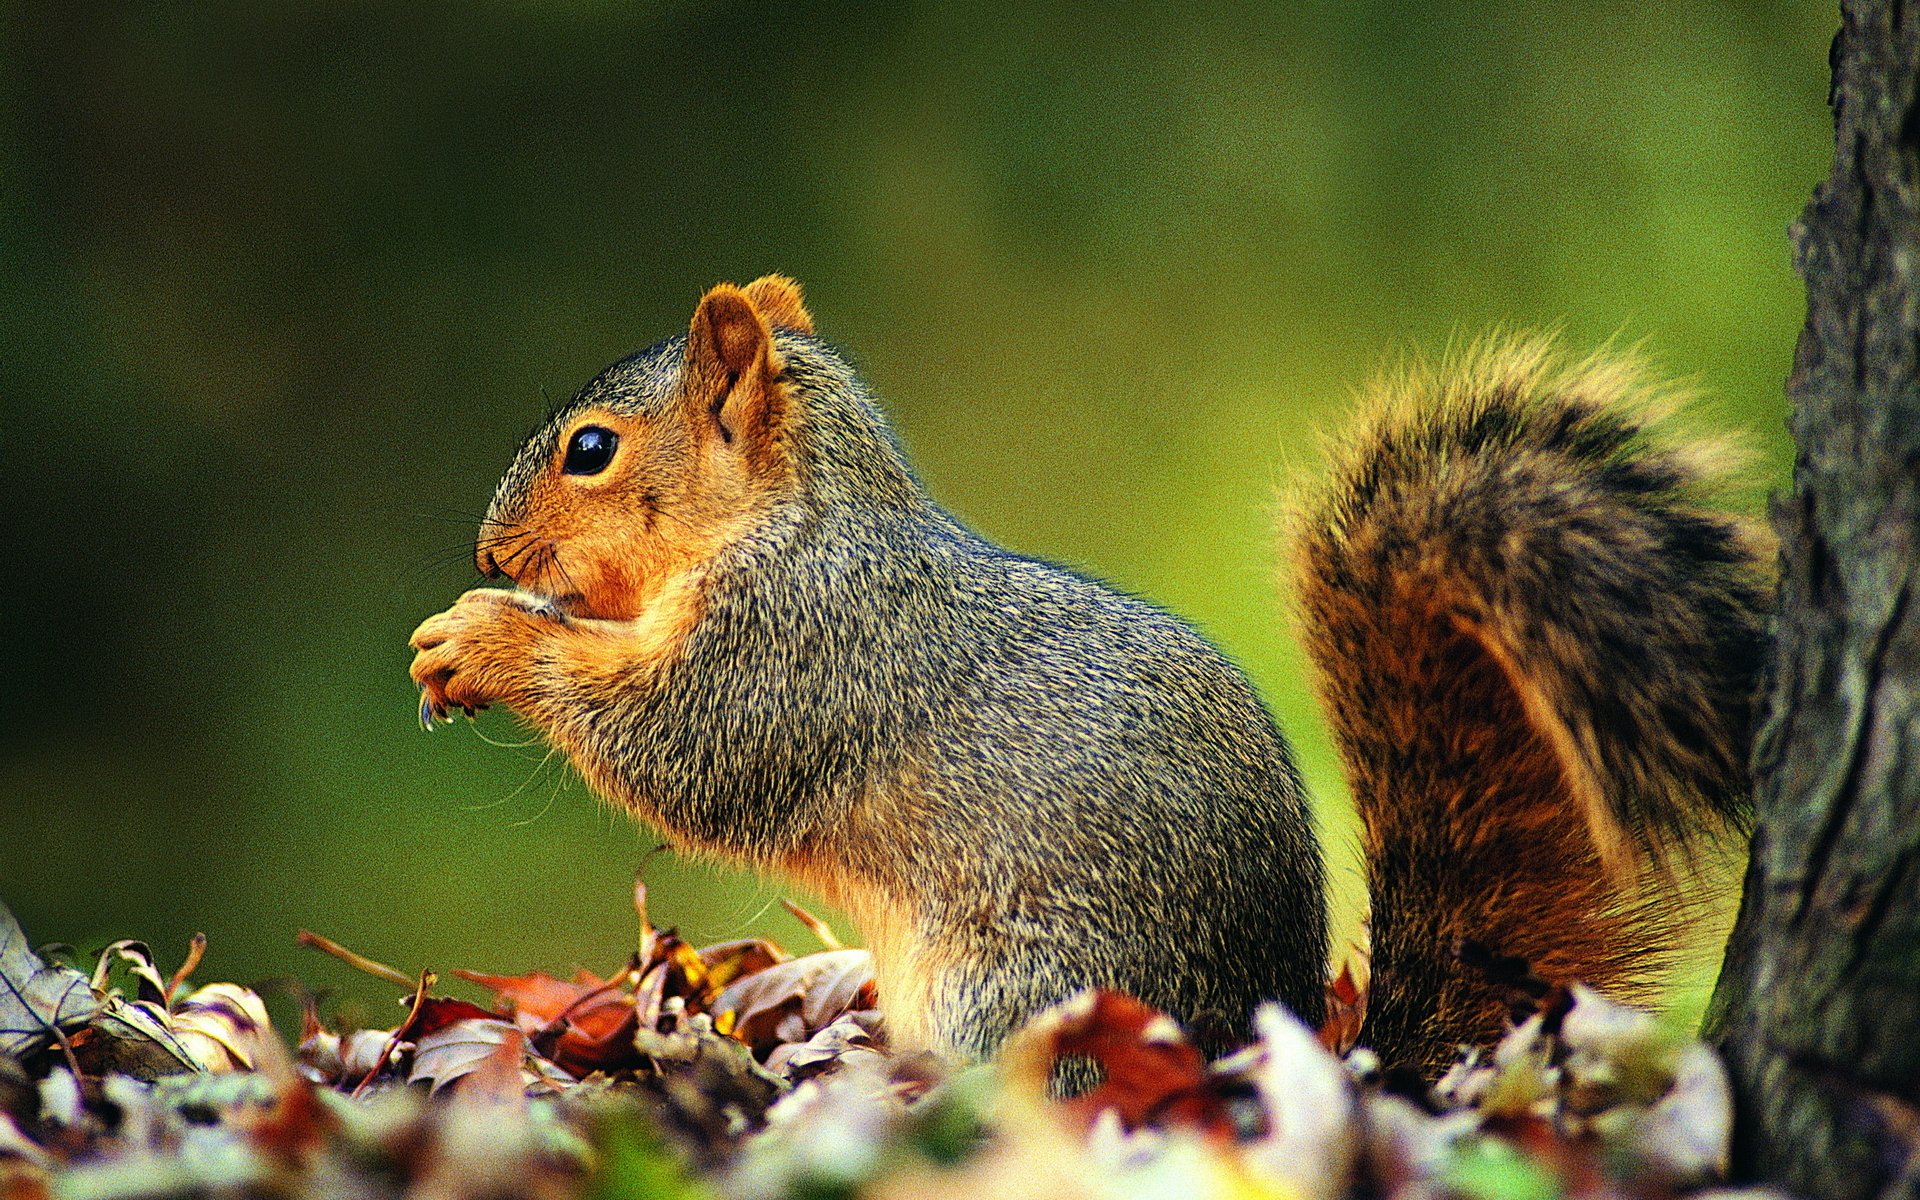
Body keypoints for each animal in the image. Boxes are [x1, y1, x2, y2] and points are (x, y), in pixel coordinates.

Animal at [408, 277, 1769, 1080]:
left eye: (591, 451)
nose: (486, 551)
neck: (792, 519)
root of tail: (1252, 1042)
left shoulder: (797, 649)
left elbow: (680, 749)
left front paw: (483, 638)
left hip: (1017, 992)